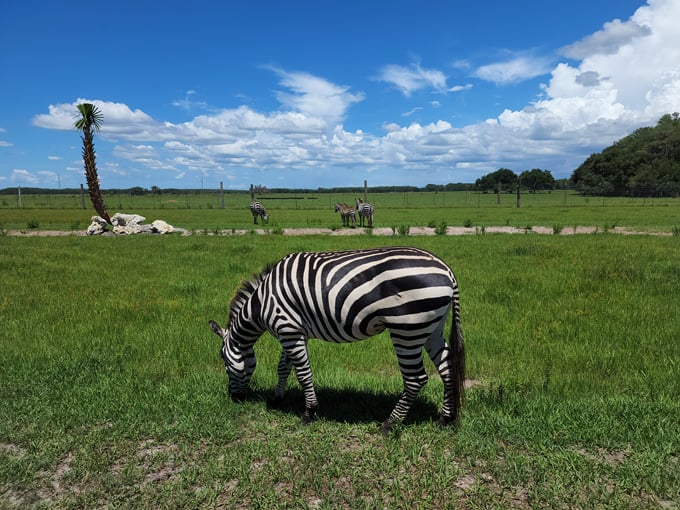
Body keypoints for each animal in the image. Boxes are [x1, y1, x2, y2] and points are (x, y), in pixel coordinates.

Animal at [207, 245, 464, 432]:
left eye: (224, 361)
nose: (234, 398)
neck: (262, 303)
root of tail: (447, 271)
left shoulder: (288, 329)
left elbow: (303, 373)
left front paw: (309, 413)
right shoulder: (294, 331)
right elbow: (284, 367)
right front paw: (276, 399)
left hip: (407, 329)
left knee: (416, 379)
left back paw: (389, 424)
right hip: (431, 328)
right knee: (447, 368)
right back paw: (445, 418)